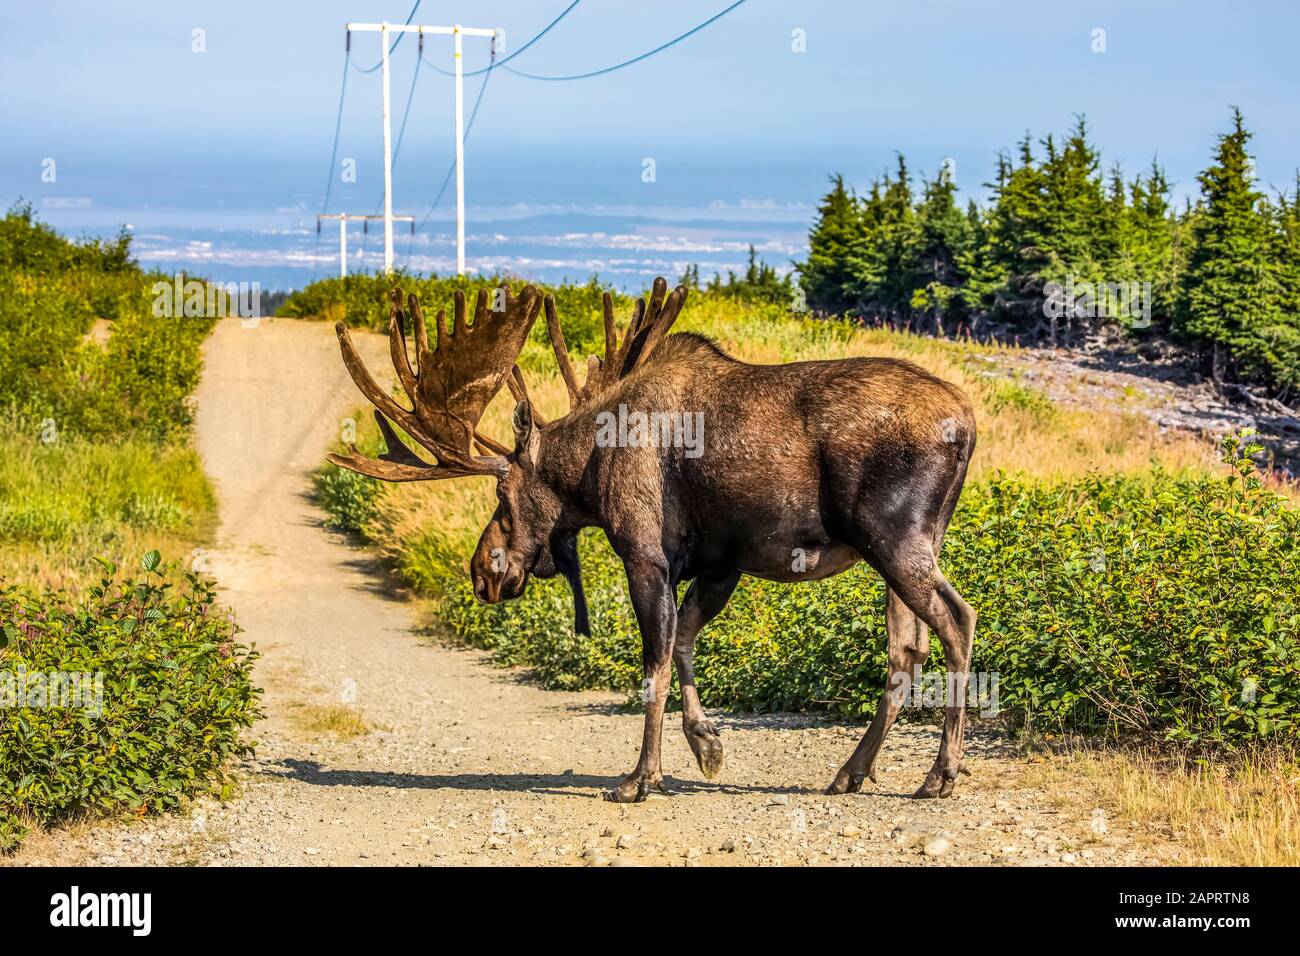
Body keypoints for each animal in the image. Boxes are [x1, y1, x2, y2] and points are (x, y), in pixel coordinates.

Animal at [327, 278, 977, 803]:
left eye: (502, 496)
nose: (481, 572)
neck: (589, 470)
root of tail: (968, 423)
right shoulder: (721, 562)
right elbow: (685, 640)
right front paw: (706, 744)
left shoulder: (644, 552)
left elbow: (654, 663)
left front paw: (640, 778)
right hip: (909, 545)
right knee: (906, 647)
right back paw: (853, 771)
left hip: (894, 536)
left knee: (957, 620)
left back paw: (940, 773)